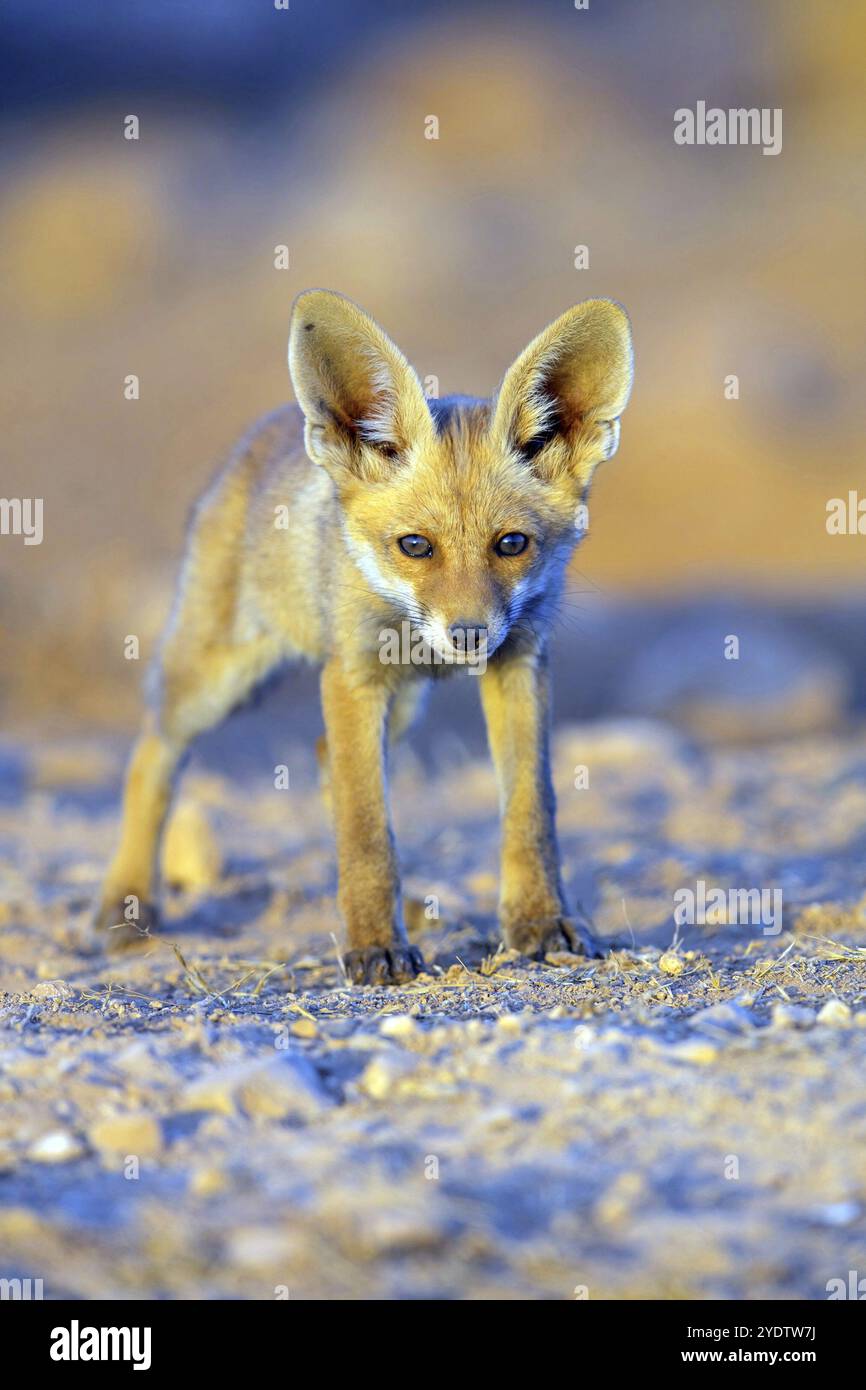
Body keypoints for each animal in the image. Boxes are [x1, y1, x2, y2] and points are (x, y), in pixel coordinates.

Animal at [94, 289, 633, 984]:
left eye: (512, 544)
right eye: (415, 546)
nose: (467, 637)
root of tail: (263, 430)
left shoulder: (518, 661)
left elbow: (530, 812)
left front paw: (539, 922)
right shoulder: (352, 675)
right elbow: (366, 829)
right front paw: (375, 945)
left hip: (400, 708)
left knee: (326, 760)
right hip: (213, 684)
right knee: (152, 753)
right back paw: (126, 898)